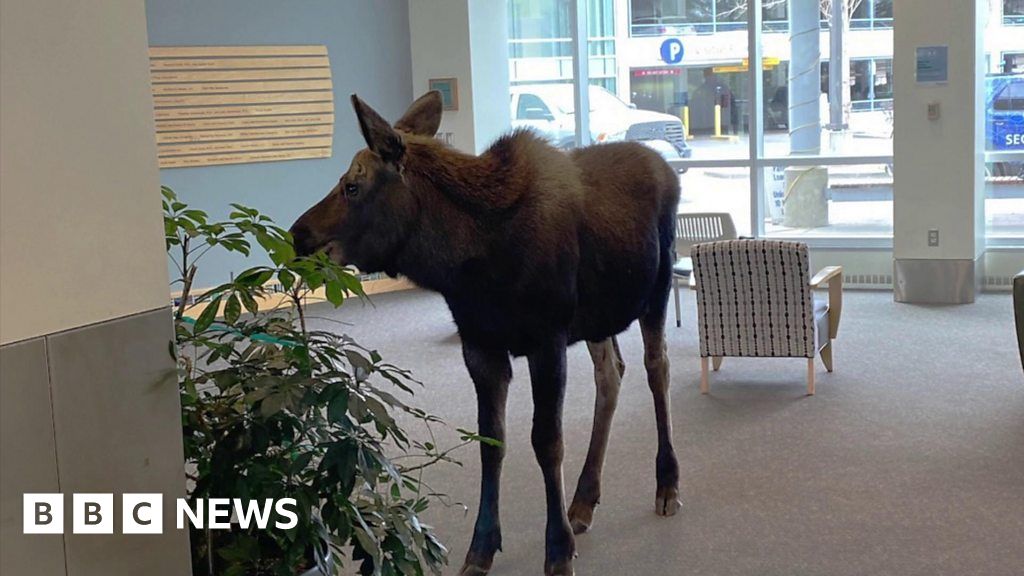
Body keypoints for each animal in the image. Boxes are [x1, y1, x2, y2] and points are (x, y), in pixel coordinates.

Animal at [290, 91, 682, 576]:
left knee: (656, 367)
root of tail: (665, 165)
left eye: (351, 186)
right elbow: (490, 442)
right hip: (598, 318)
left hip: (656, 288)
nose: (298, 234)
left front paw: (557, 551)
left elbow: (547, 442)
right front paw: (481, 548)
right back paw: (584, 500)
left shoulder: (547, 340)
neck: (469, 263)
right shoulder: (480, 346)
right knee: (611, 374)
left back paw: (666, 483)